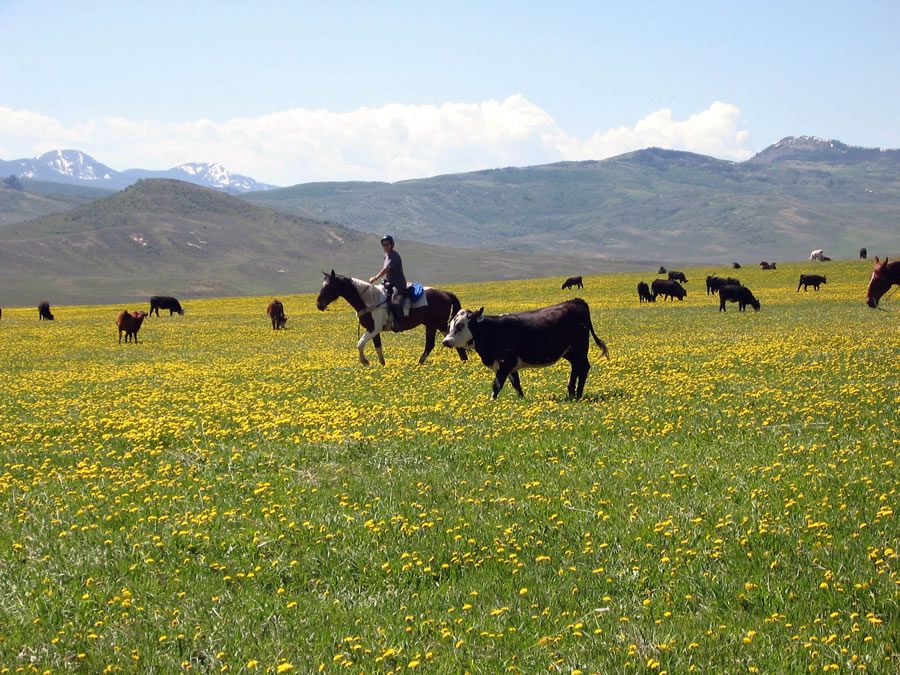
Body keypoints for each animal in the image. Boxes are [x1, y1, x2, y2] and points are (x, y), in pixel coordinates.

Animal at [441, 298, 609, 400]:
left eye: (460, 325)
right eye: (450, 324)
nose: (446, 341)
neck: (492, 330)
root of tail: (576, 301)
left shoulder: (505, 362)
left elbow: (497, 384)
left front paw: (491, 401)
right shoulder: (509, 365)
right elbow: (516, 383)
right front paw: (522, 399)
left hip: (580, 348)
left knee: (584, 367)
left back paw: (578, 395)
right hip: (571, 352)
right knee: (576, 368)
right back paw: (571, 393)